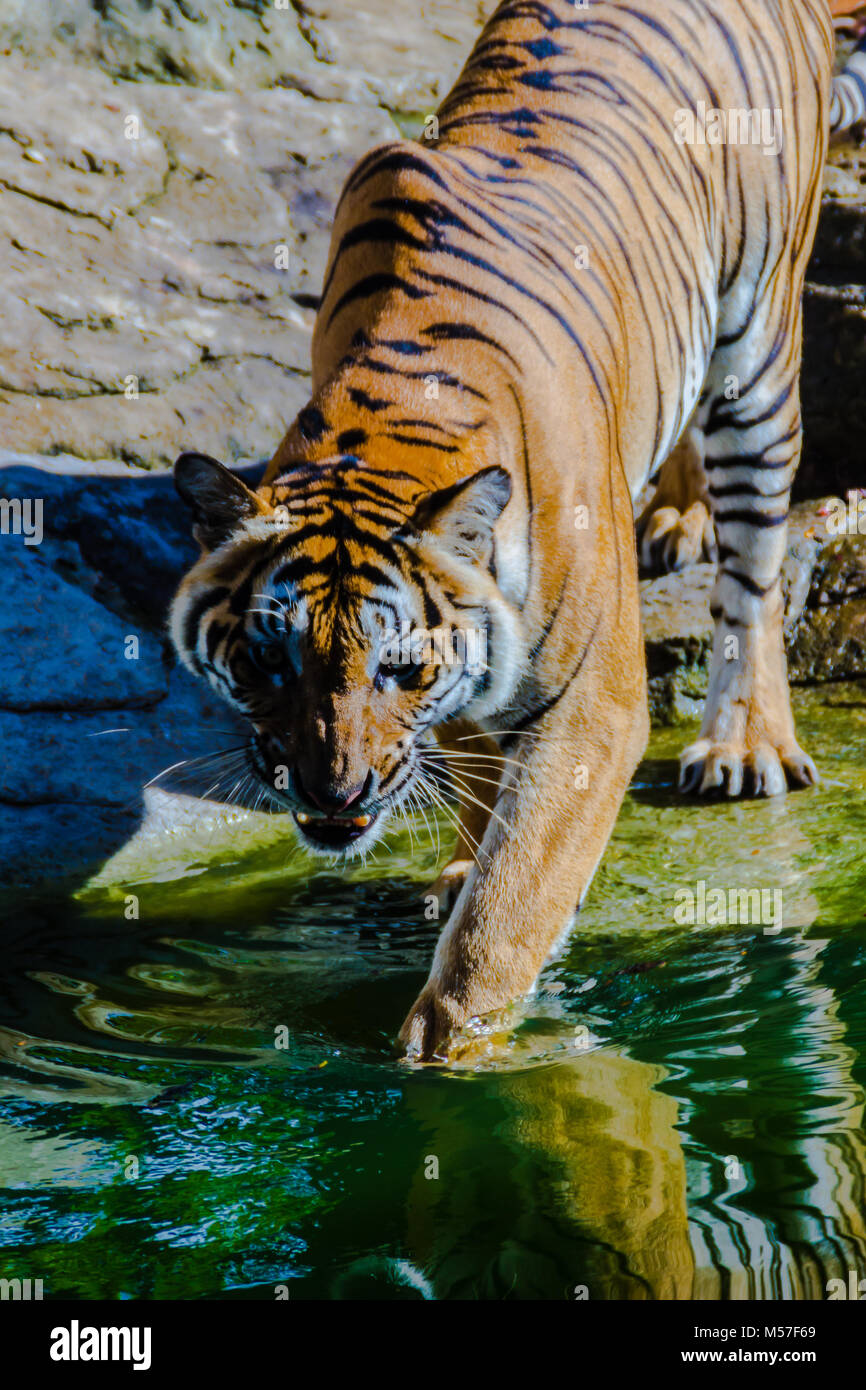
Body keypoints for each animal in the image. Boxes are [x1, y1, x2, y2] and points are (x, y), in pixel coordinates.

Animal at [170, 0, 866, 1062]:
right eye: (263, 664)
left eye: (399, 668)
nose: (332, 796)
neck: (386, 429)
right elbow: (475, 761)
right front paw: (460, 864)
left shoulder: (593, 710)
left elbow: (510, 902)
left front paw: (450, 1049)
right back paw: (678, 515)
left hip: (760, 340)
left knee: (754, 566)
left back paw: (743, 743)